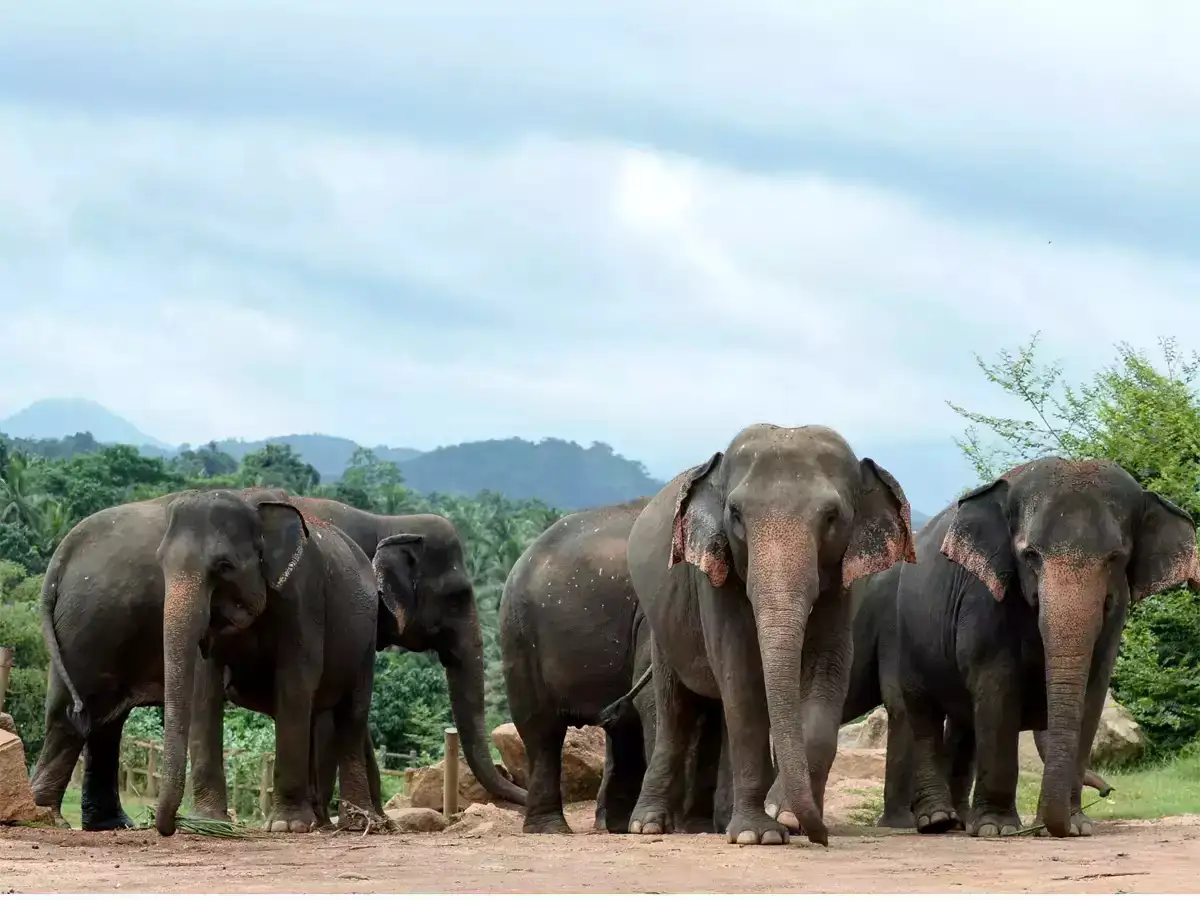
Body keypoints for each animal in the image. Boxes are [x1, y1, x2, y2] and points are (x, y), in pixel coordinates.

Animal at [33, 488, 381, 836]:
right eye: (161, 564)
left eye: (225, 566)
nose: (171, 825)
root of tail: (61, 554)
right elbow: (205, 688)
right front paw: (207, 823)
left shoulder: (303, 596)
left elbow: (296, 684)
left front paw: (287, 826)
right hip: (86, 628)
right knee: (79, 716)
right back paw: (57, 818)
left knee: (352, 712)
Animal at [499, 497, 727, 835]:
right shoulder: (651, 619)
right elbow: (658, 702)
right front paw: (672, 826)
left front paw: (698, 827)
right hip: (520, 637)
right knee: (541, 730)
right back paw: (551, 829)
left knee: (621, 726)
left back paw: (618, 825)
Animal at [624, 423, 915, 846]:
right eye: (735, 514)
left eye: (832, 516)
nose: (822, 837)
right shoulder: (715, 573)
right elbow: (741, 674)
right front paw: (756, 834)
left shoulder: (844, 584)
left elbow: (827, 667)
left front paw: (787, 815)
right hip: (662, 625)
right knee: (674, 710)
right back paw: (647, 825)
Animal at [891, 457, 1199, 839]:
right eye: (1030, 555)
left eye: (1115, 557)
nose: (1109, 792)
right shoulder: (987, 598)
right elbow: (998, 688)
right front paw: (997, 829)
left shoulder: (1115, 616)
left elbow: (1091, 694)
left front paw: (1077, 826)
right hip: (907, 630)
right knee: (923, 712)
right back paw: (938, 821)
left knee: (964, 725)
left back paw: (961, 822)